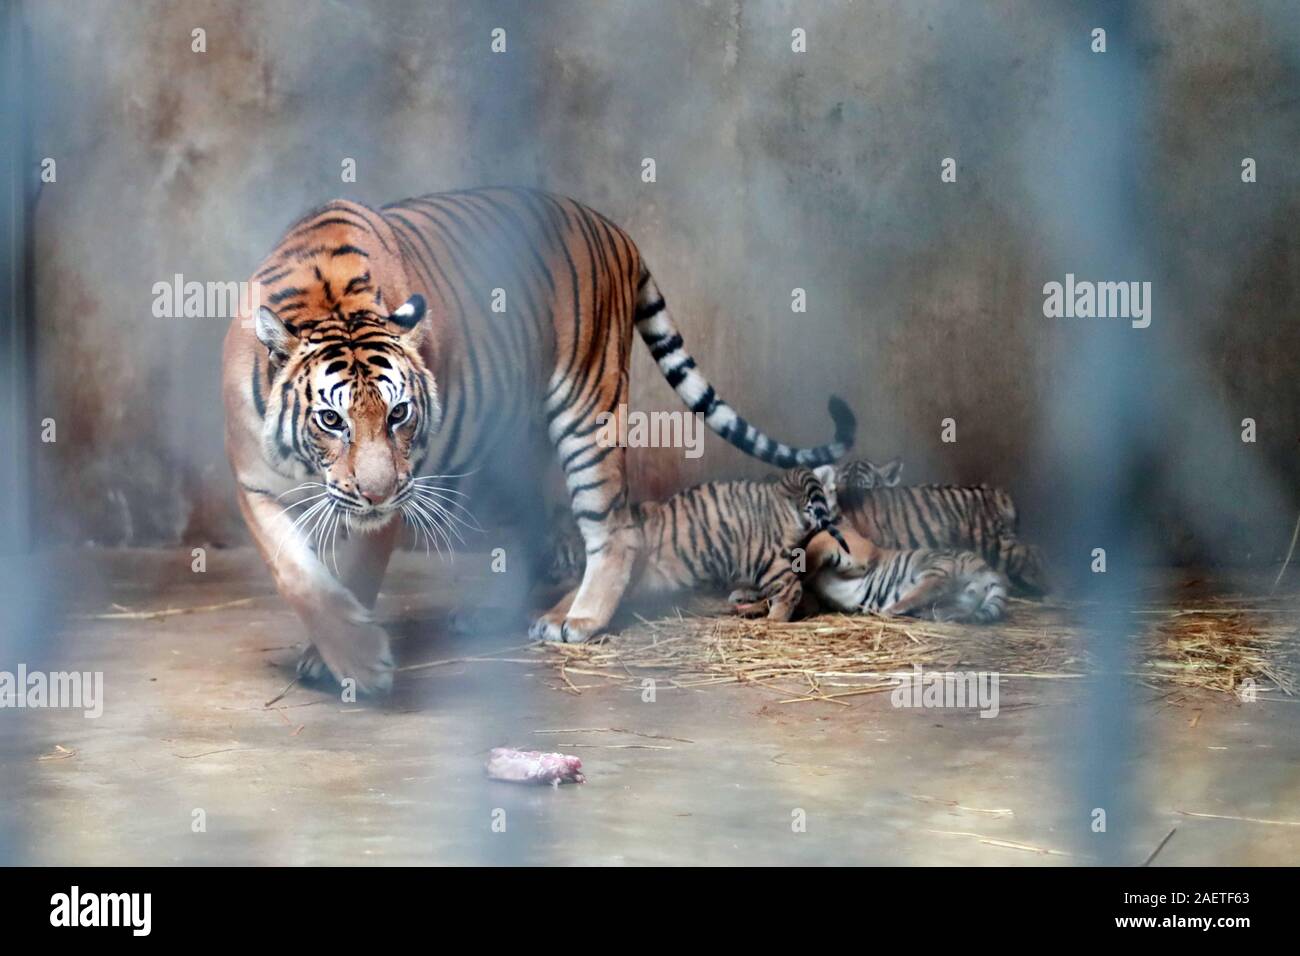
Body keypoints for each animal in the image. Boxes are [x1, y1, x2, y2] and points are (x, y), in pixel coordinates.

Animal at [801, 526, 1009, 624]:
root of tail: (988, 569)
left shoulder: (855, 551)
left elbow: (814, 546)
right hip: (961, 599)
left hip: (937, 566)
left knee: (932, 587)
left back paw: (890, 610)